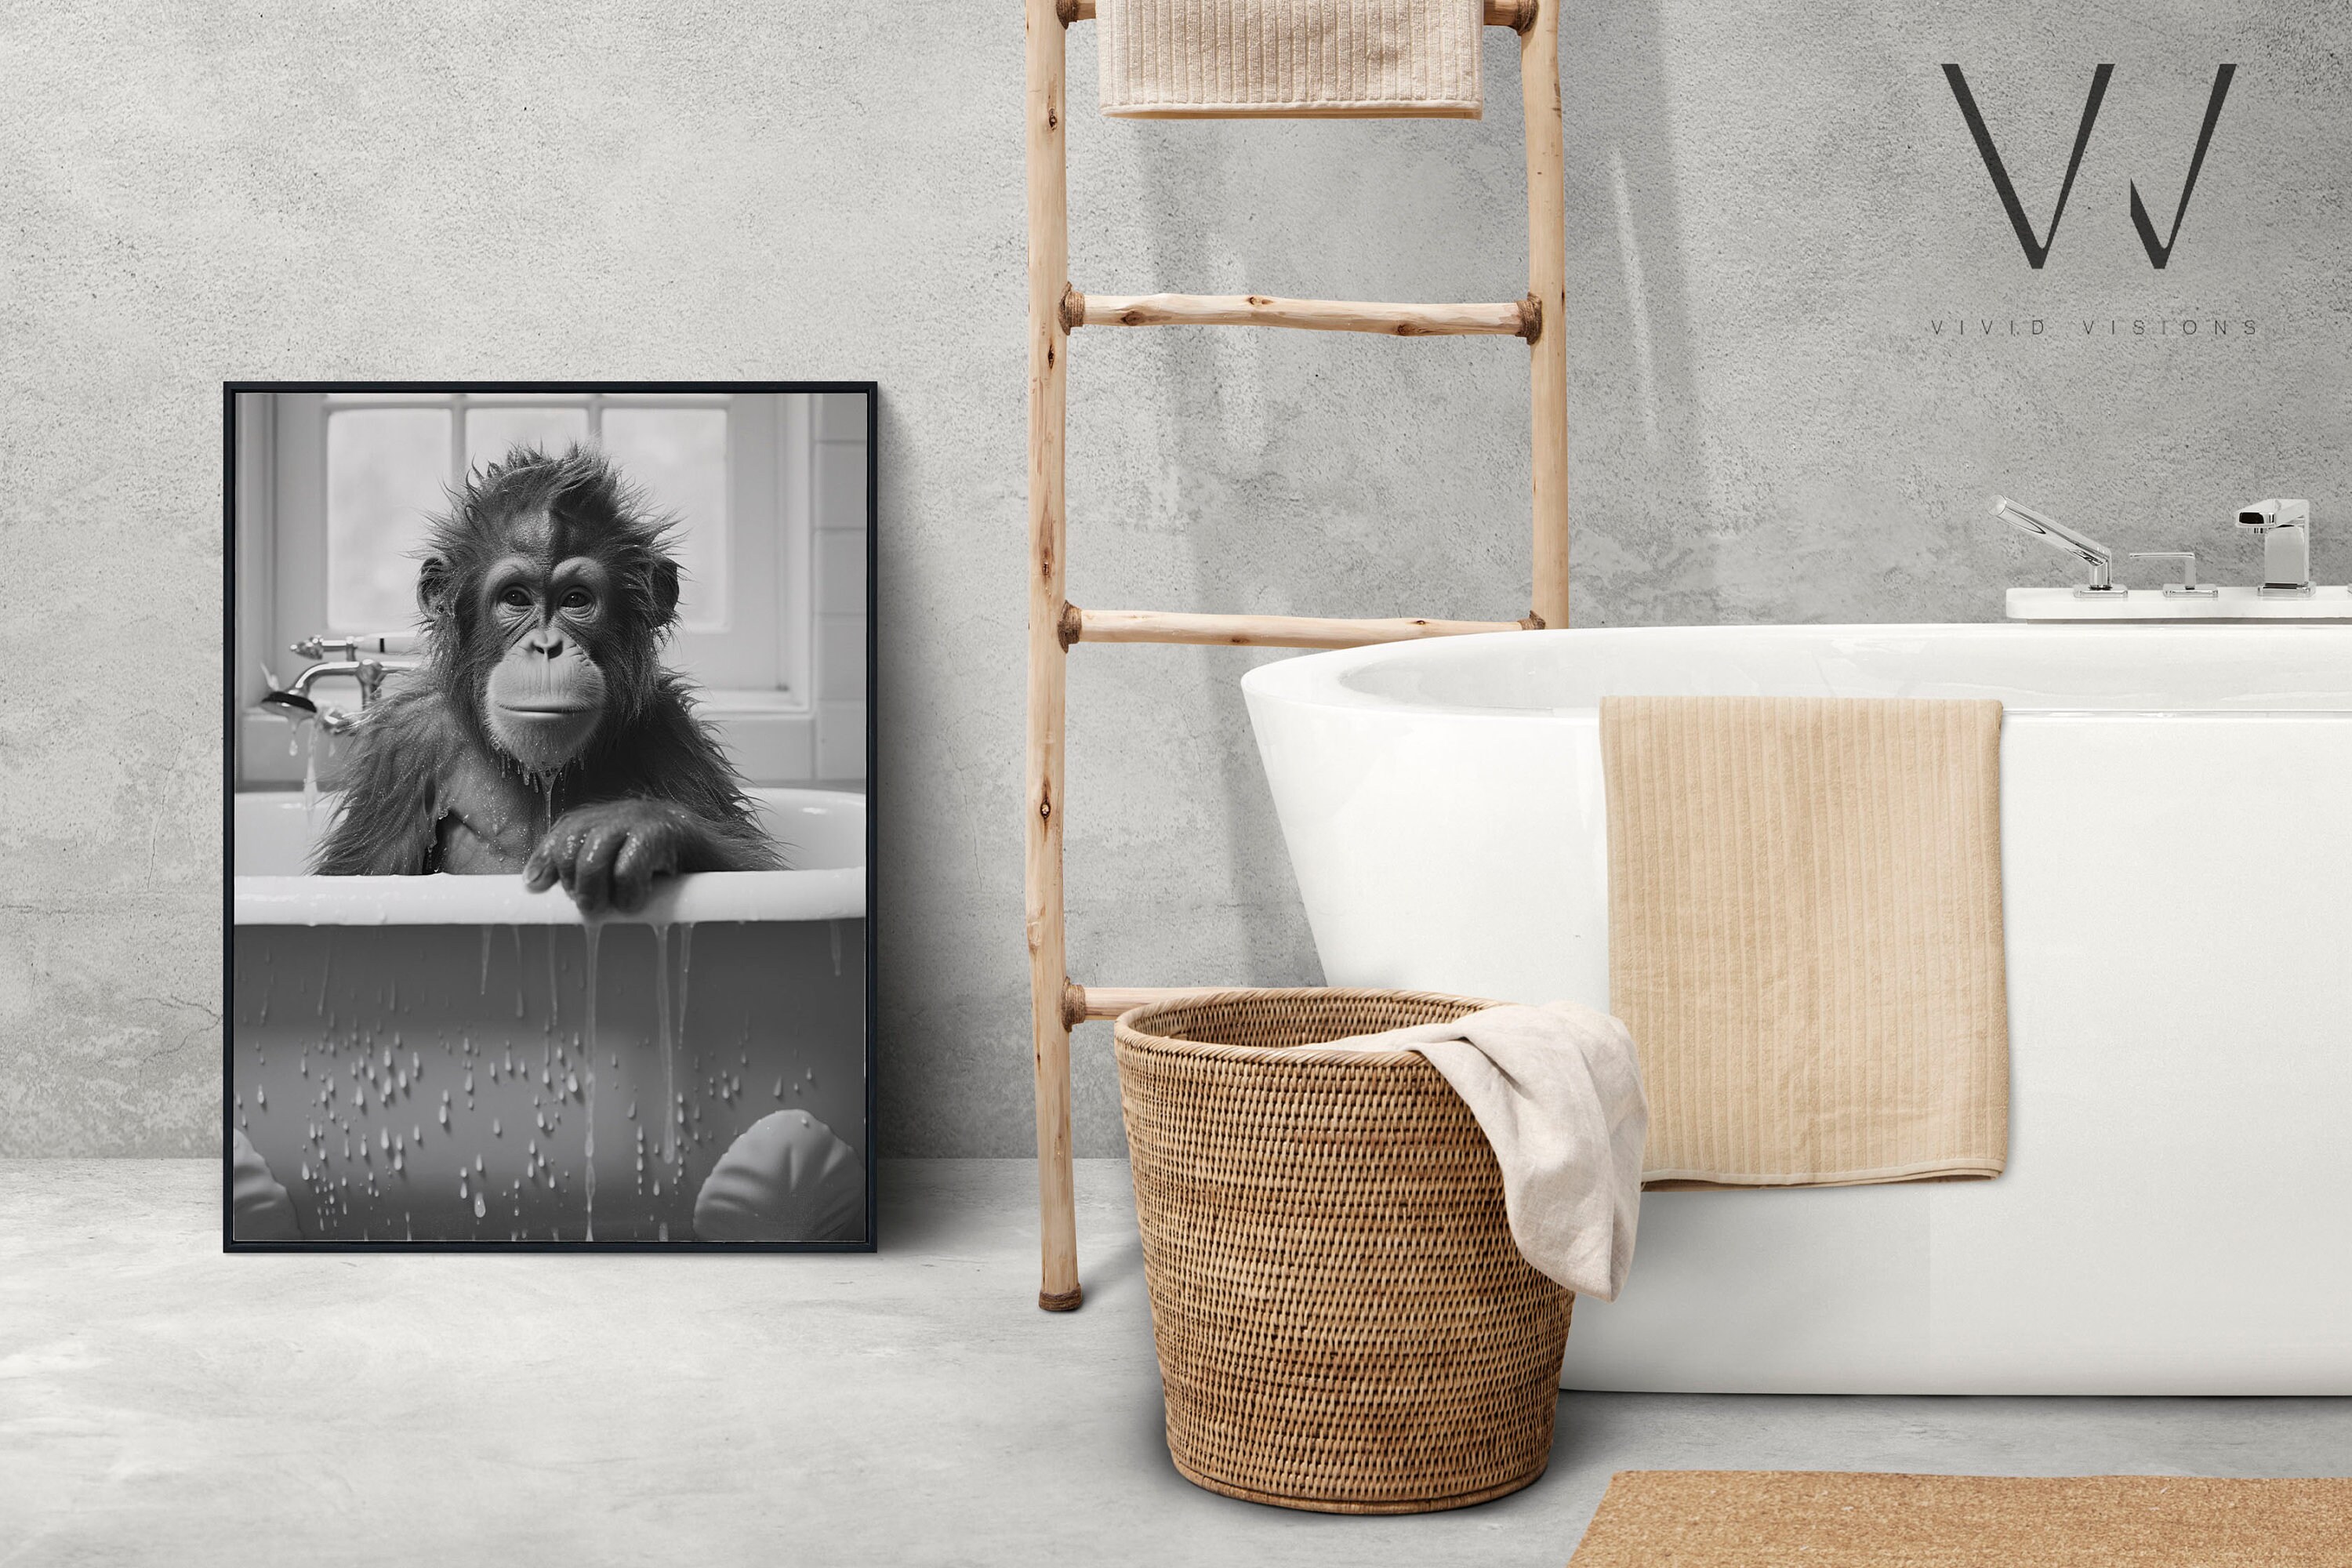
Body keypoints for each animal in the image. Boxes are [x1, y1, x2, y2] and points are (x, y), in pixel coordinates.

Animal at [312, 445, 778, 912]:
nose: (546, 646)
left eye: (575, 600)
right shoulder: (402, 748)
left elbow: (754, 864)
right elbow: (360, 873)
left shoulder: (670, 730)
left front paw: (637, 826)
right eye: (516, 598)